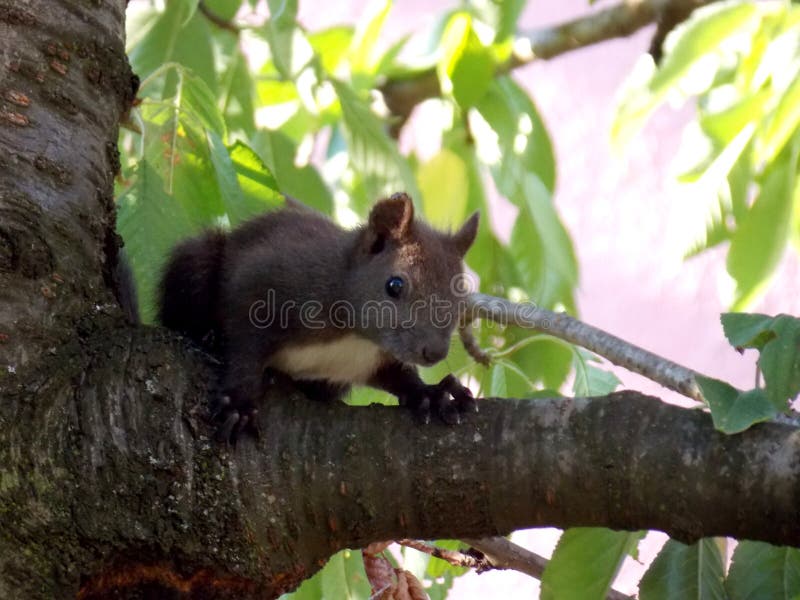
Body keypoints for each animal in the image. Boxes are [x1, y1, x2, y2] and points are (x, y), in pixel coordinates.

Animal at [158, 192, 480, 442]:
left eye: (461, 295)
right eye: (395, 285)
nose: (434, 352)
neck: (354, 336)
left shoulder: (371, 360)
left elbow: (397, 376)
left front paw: (430, 394)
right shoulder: (264, 282)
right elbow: (245, 343)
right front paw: (239, 401)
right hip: (198, 260)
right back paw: (206, 336)